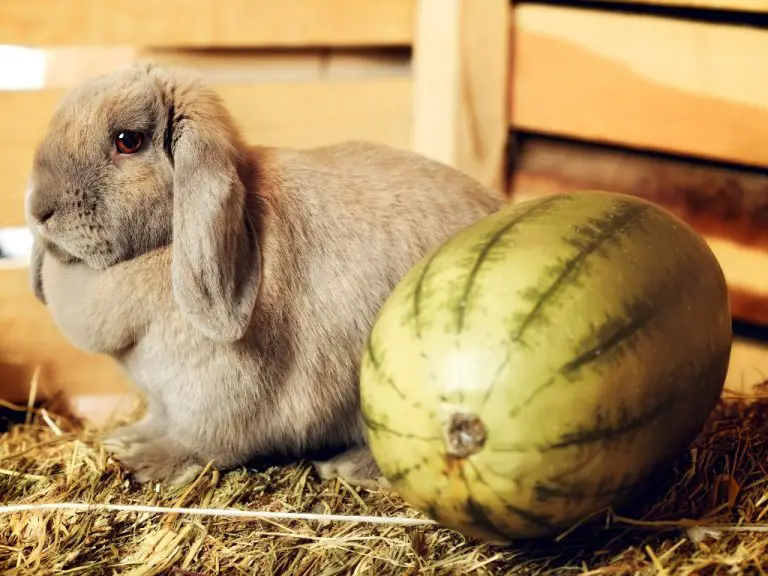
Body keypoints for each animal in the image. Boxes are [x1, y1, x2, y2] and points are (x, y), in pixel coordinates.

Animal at [25, 62, 506, 488]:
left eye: (128, 141)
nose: (39, 210)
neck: (166, 245)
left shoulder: (215, 398)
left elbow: (198, 443)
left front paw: (146, 463)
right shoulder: (162, 398)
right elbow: (156, 420)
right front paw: (122, 439)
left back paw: (349, 467)